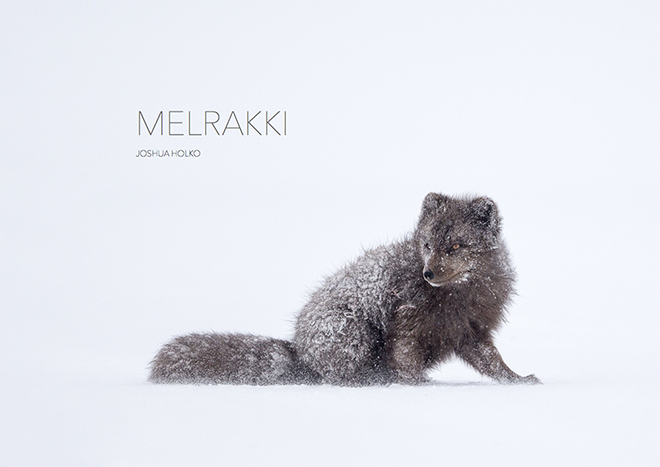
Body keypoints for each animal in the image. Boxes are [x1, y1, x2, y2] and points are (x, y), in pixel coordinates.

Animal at [149, 193, 540, 386]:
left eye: (456, 246)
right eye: (428, 243)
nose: (428, 272)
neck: (457, 296)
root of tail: (300, 351)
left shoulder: (470, 329)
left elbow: (492, 361)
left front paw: (518, 380)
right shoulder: (406, 323)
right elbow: (405, 359)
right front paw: (416, 386)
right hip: (349, 327)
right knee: (337, 376)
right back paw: (368, 381)